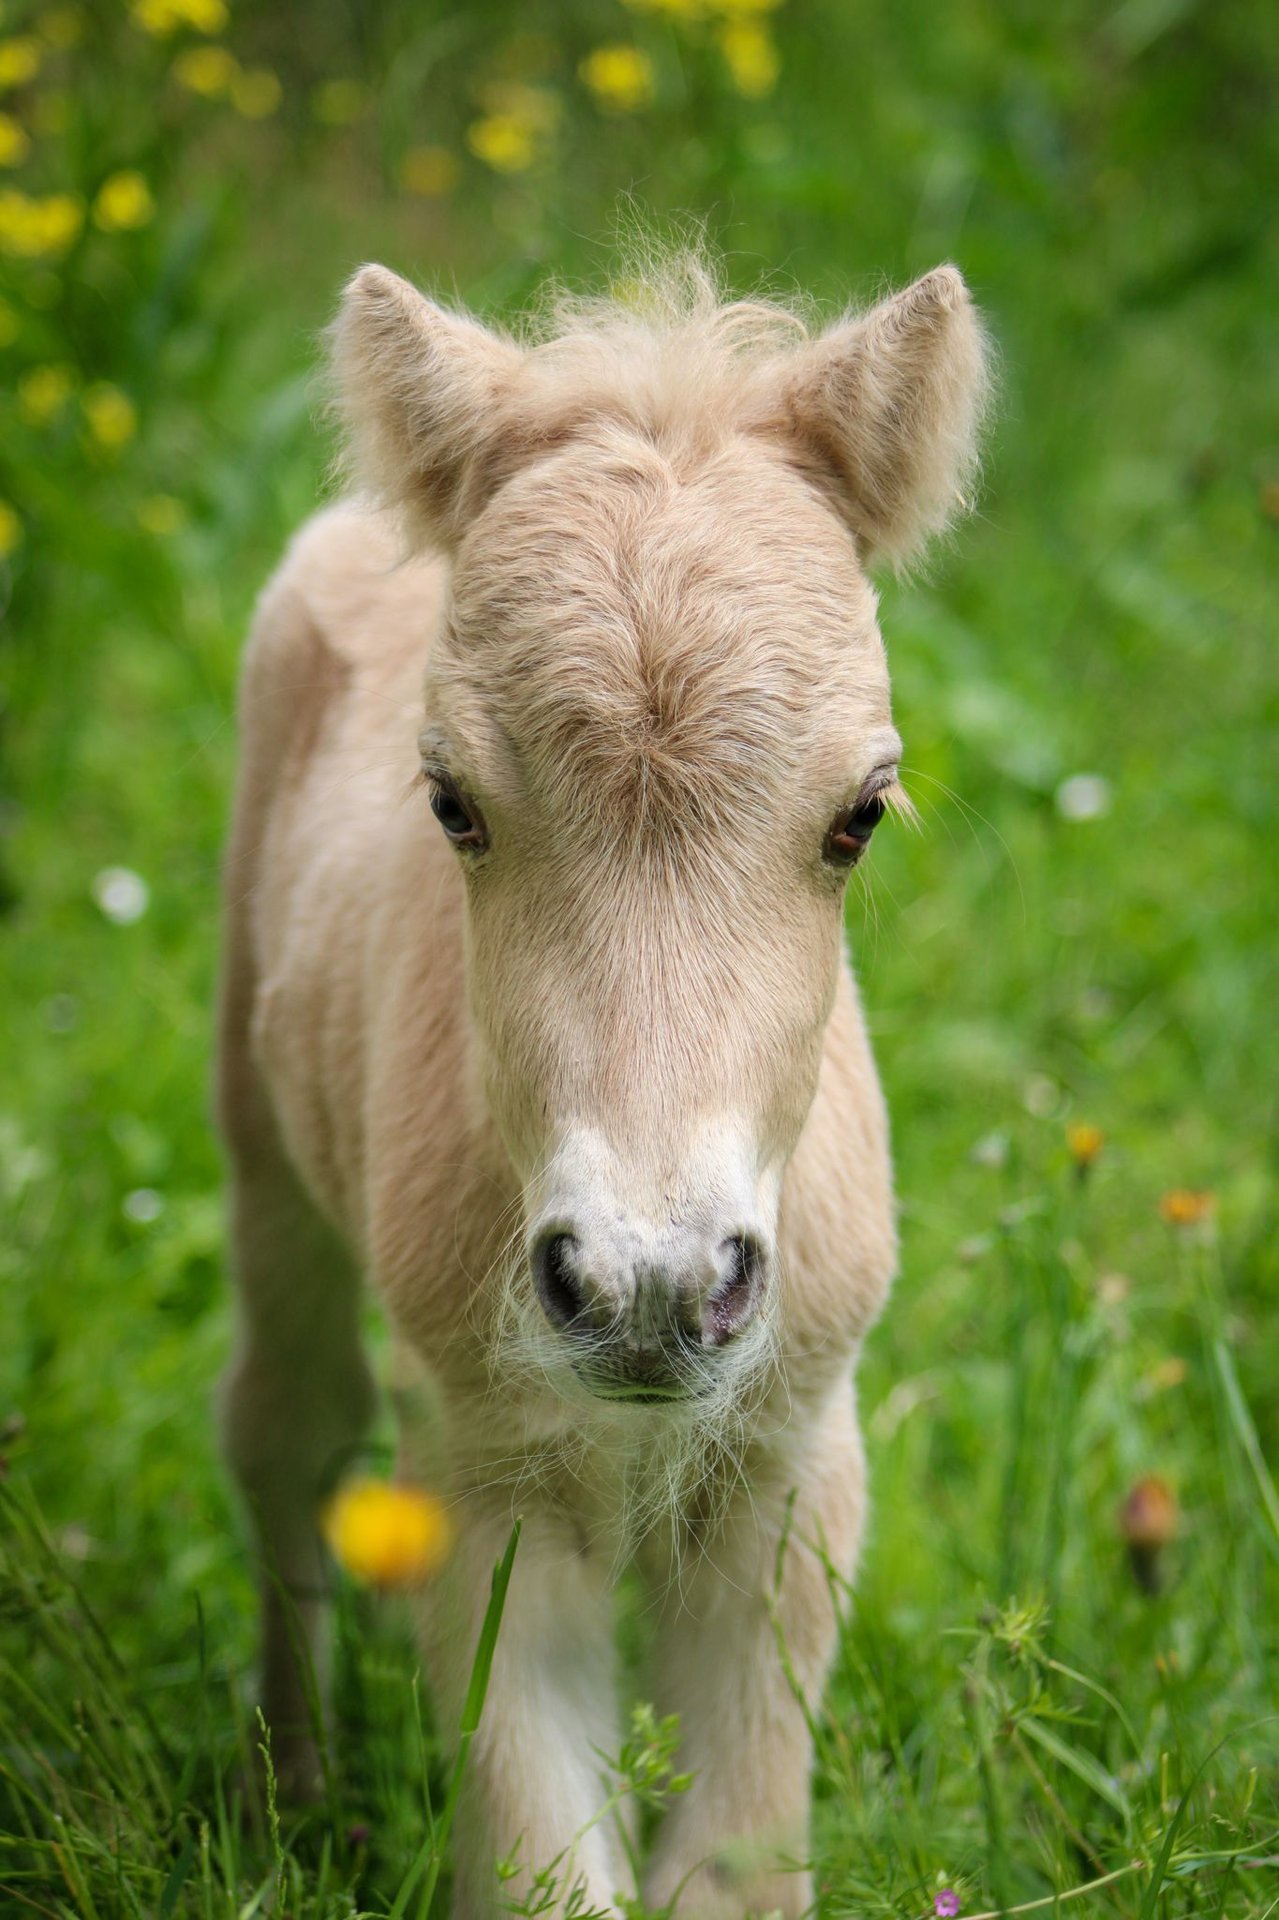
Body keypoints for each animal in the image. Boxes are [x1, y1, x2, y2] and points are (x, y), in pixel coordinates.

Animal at [217, 251, 988, 1917]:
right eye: (447, 800)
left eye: (860, 813)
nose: (646, 1287)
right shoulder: (480, 1482)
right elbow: (540, 1867)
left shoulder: (789, 1472)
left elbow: (734, 1869)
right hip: (259, 1153)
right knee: (283, 1430)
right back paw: (289, 1797)